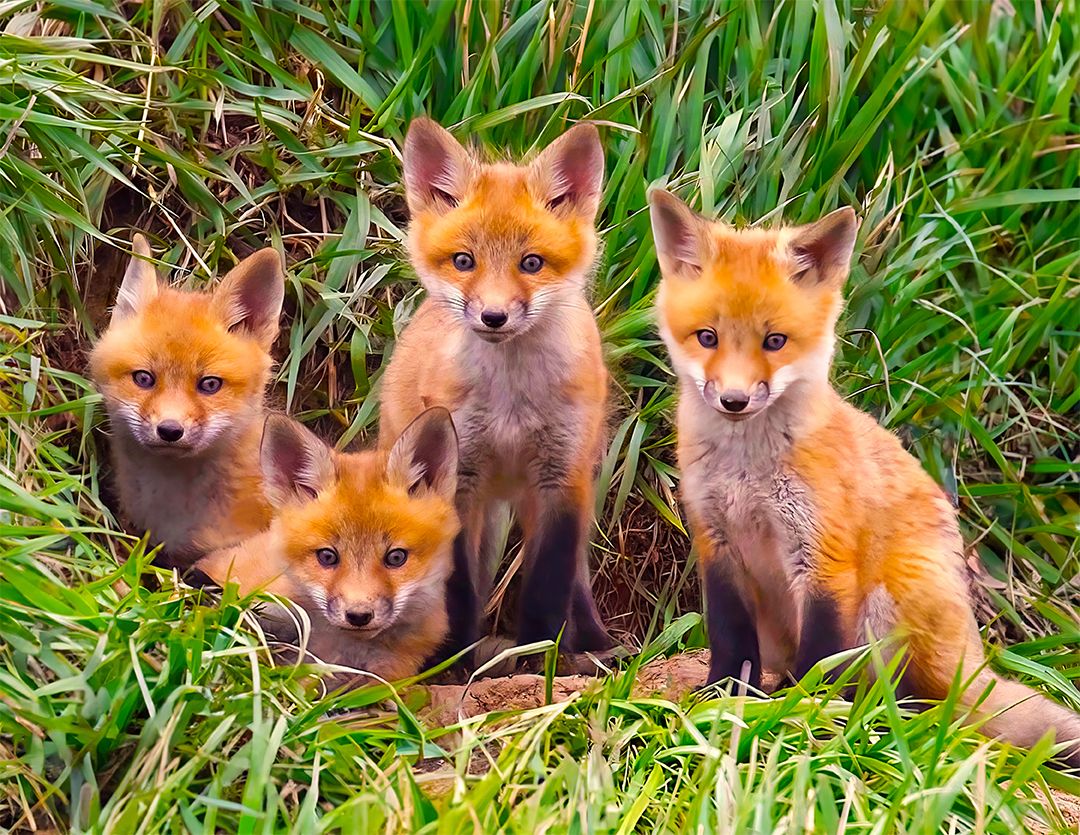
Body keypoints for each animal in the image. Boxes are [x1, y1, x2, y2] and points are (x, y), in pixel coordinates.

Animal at [378, 118, 612, 660]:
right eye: (464, 260)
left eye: (532, 263)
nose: (493, 316)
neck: (513, 399)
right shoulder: (459, 478)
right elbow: (458, 585)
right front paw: (452, 659)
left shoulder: (561, 479)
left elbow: (549, 583)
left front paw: (540, 656)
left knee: (578, 576)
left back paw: (597, 642)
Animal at [649, 188, 1080, 767]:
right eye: (707, 337)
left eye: (775, 341)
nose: (734, 401)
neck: (746, 471)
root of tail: (971, 661)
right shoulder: (715, 542)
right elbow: (730, 639)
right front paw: (724, 696)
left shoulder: (824, 554)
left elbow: (820, 656)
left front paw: (802, 709)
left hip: (887, 601)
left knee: (908, 701)